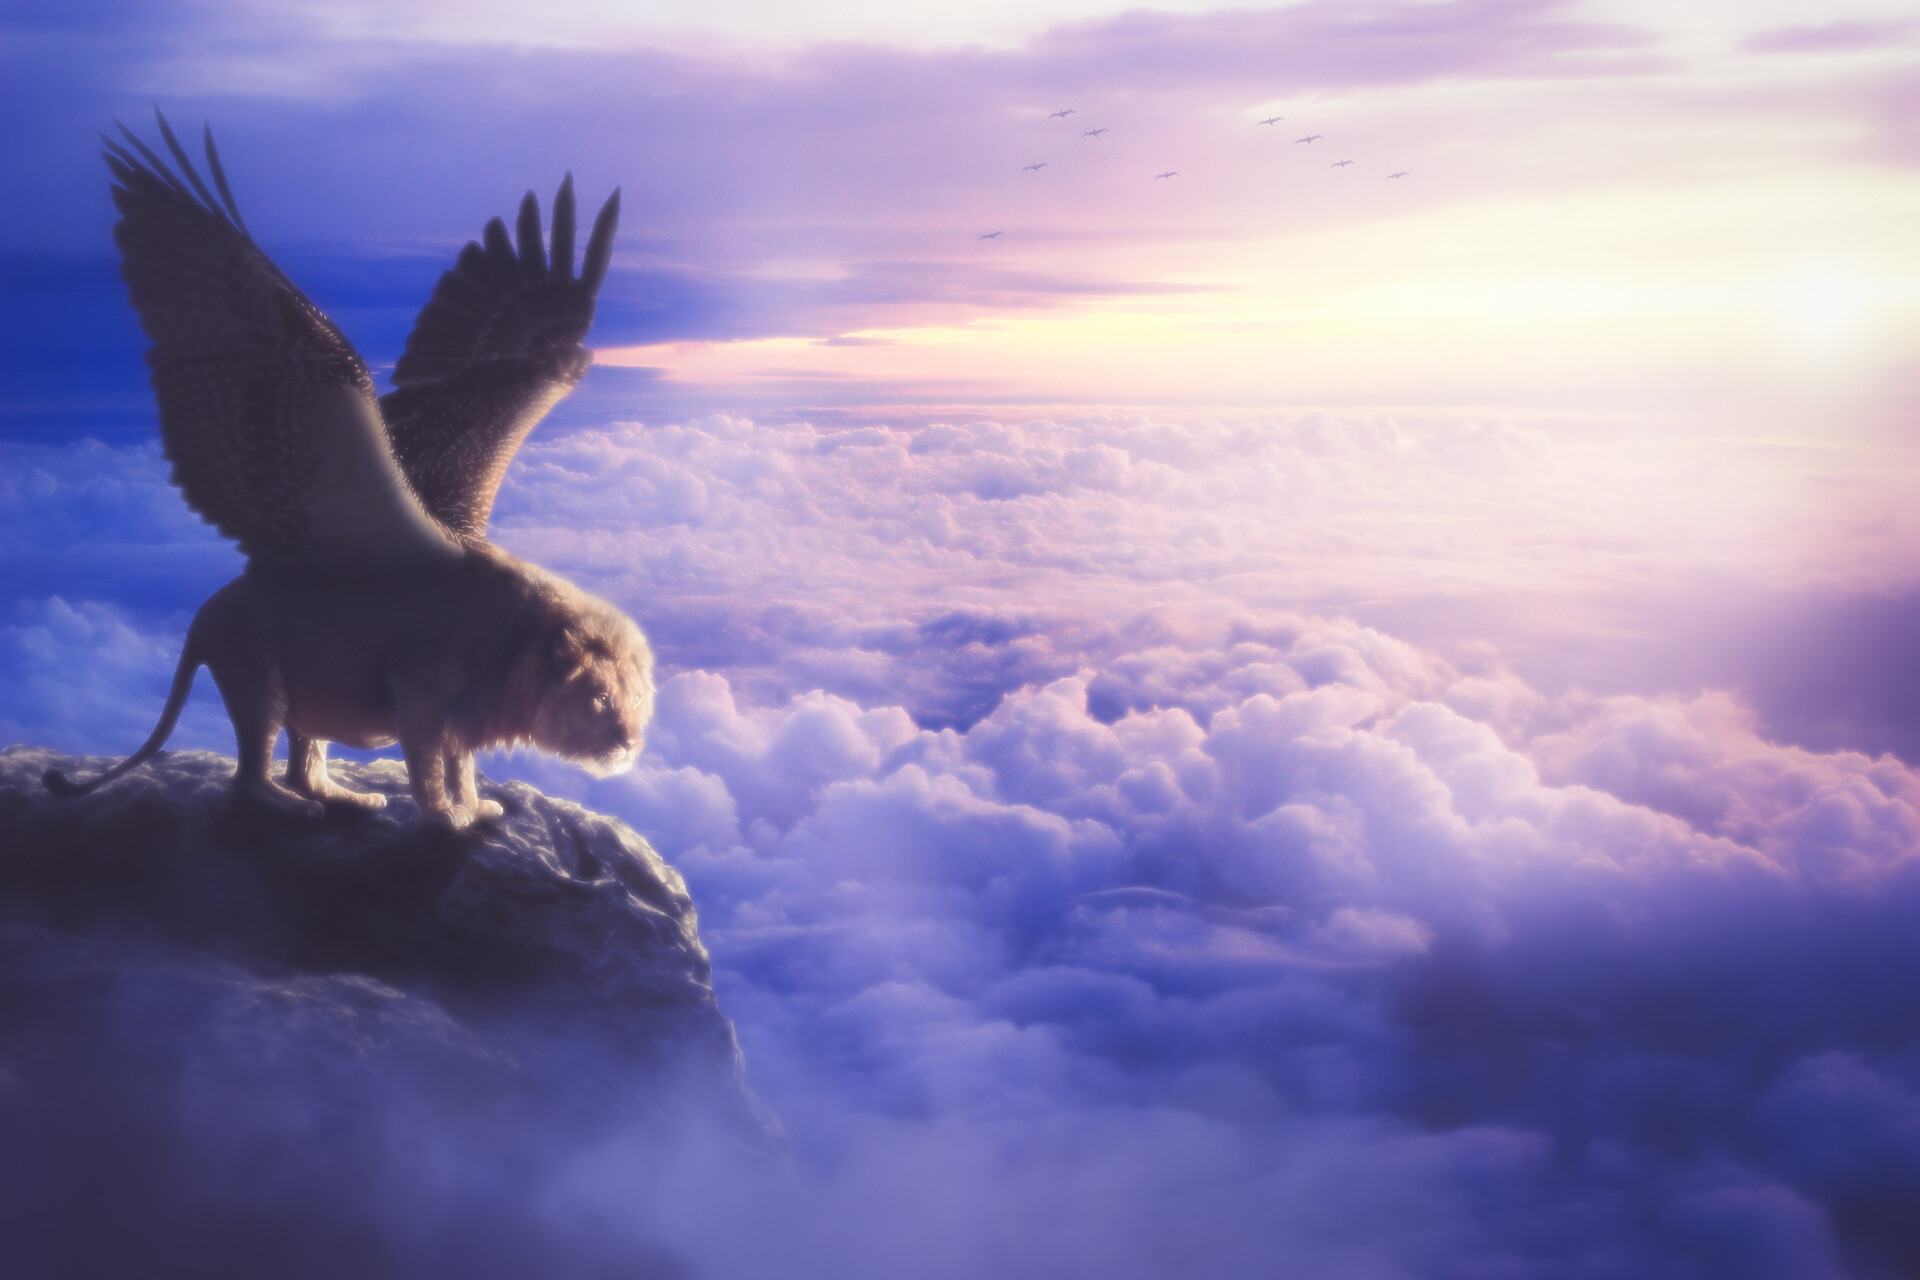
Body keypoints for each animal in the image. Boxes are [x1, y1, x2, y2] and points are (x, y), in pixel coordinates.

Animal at [44, 112, 648, 828]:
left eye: (638, 697)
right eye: (602, 699)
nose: (631, 741)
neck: (515, 644)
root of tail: (204, 614)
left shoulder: (463, 714)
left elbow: (461, 764)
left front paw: (476, 807)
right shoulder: (421, 691)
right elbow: (430, 766)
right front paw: (447, 819)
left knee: (304, 761)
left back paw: (342, 796)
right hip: (256, 675)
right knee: (252, 776)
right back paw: (295, 809)